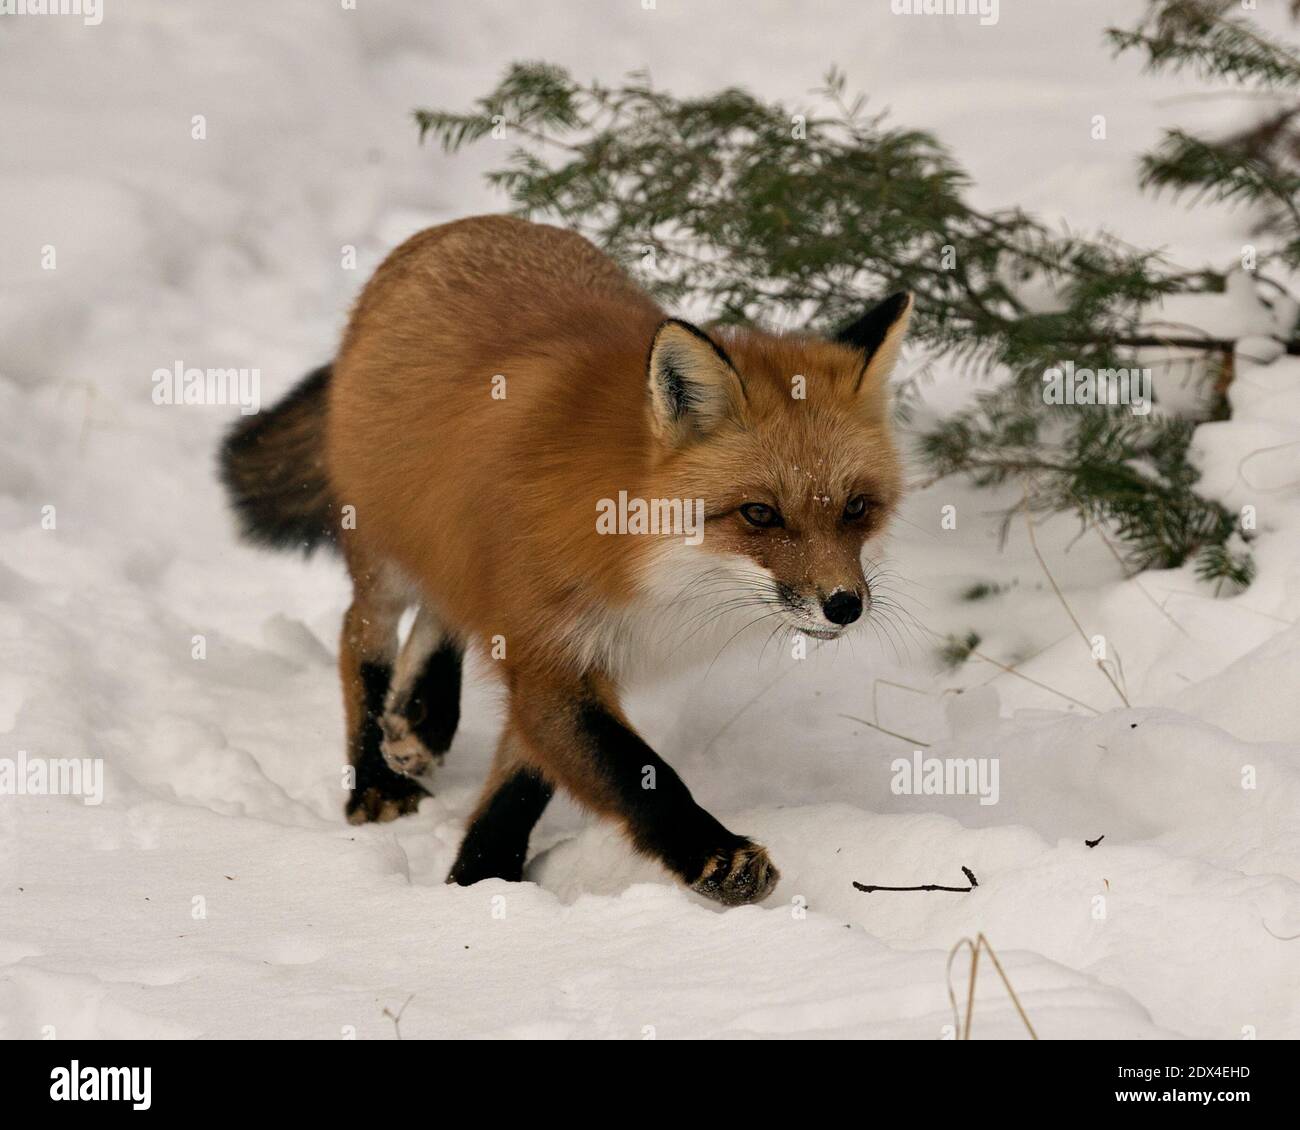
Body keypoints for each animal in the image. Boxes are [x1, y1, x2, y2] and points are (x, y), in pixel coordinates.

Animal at [220, 215, 911, 907]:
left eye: (857, 508)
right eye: (760, 514)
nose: (845, 606)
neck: (648, 562)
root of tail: (453, 229)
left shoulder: (571, 654)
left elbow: (524, 783)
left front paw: (481, 874)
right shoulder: (548, 649)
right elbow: (636, 775)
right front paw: (718, 857)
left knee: (442, 614)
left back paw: (421, 722)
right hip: (384, 554)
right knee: (362, 637)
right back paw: (374, 779)